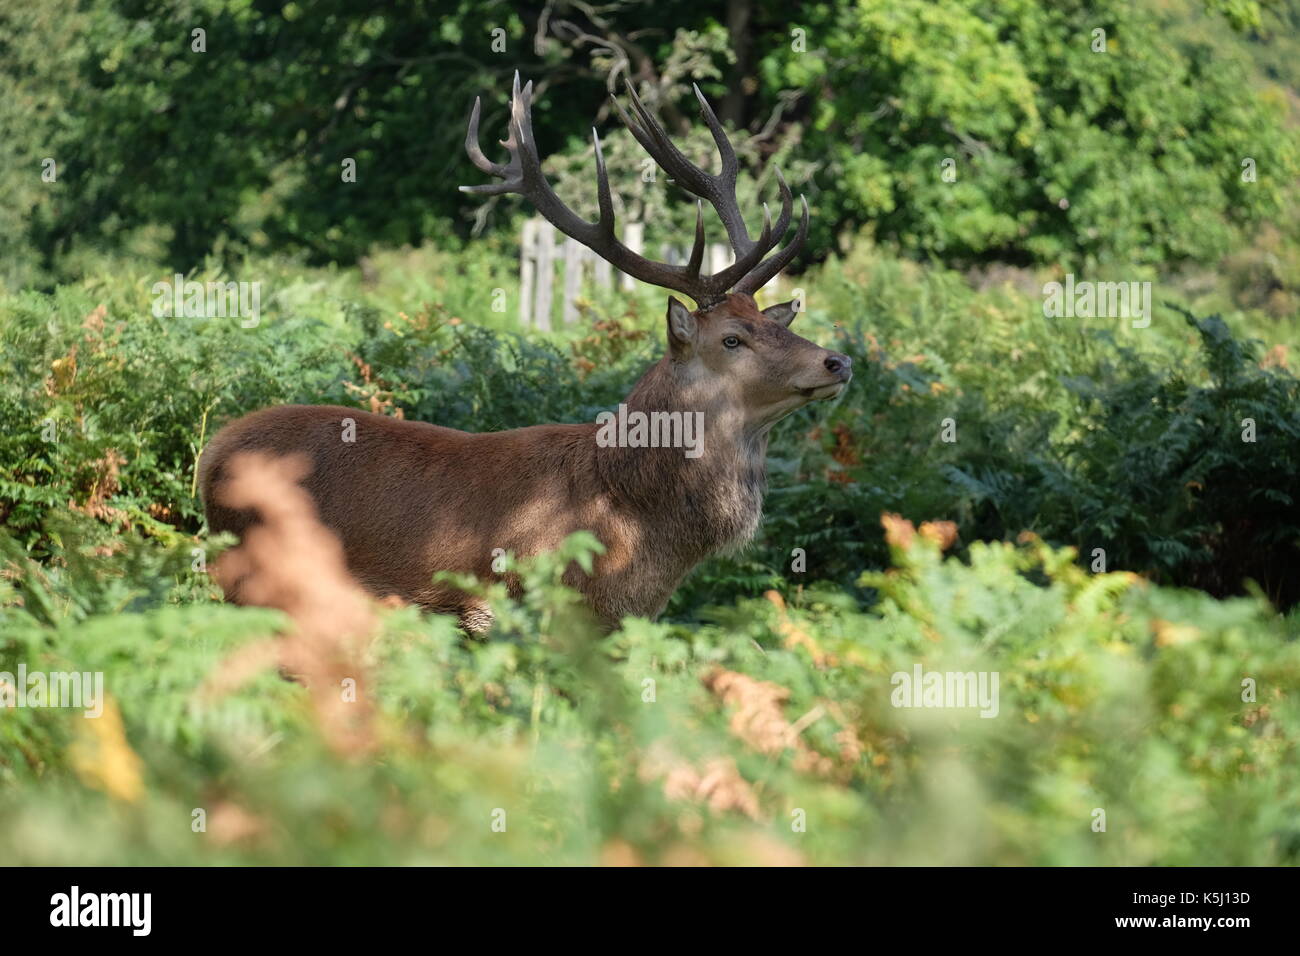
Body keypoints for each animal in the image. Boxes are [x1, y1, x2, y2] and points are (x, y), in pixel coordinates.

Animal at [199, 73, 851, 632]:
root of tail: (209, 457)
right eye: (732, 339)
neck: (635, 531)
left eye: (768, 321)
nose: (837, 361)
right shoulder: (510, 608)